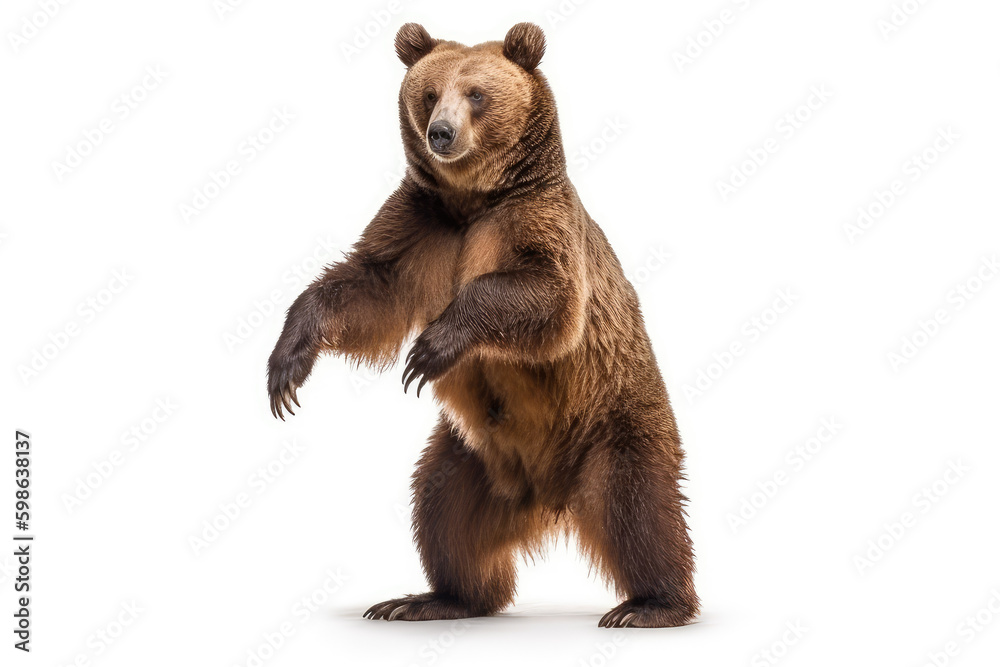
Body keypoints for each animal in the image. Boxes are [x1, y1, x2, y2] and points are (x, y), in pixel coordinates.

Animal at [267, 22, 698, 628]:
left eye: (476, 94)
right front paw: (287, 365)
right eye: (429, 94)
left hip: (616, 421)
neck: (472, 201)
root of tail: (548, 498)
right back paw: (428, 599)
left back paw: (650, 605)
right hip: (468, 457)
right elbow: (367, 286)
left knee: (639, 507)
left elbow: (546, 294)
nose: (440, 133)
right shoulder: (419, 225)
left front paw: (430, 349)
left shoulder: (532, 221)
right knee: (441, 512)